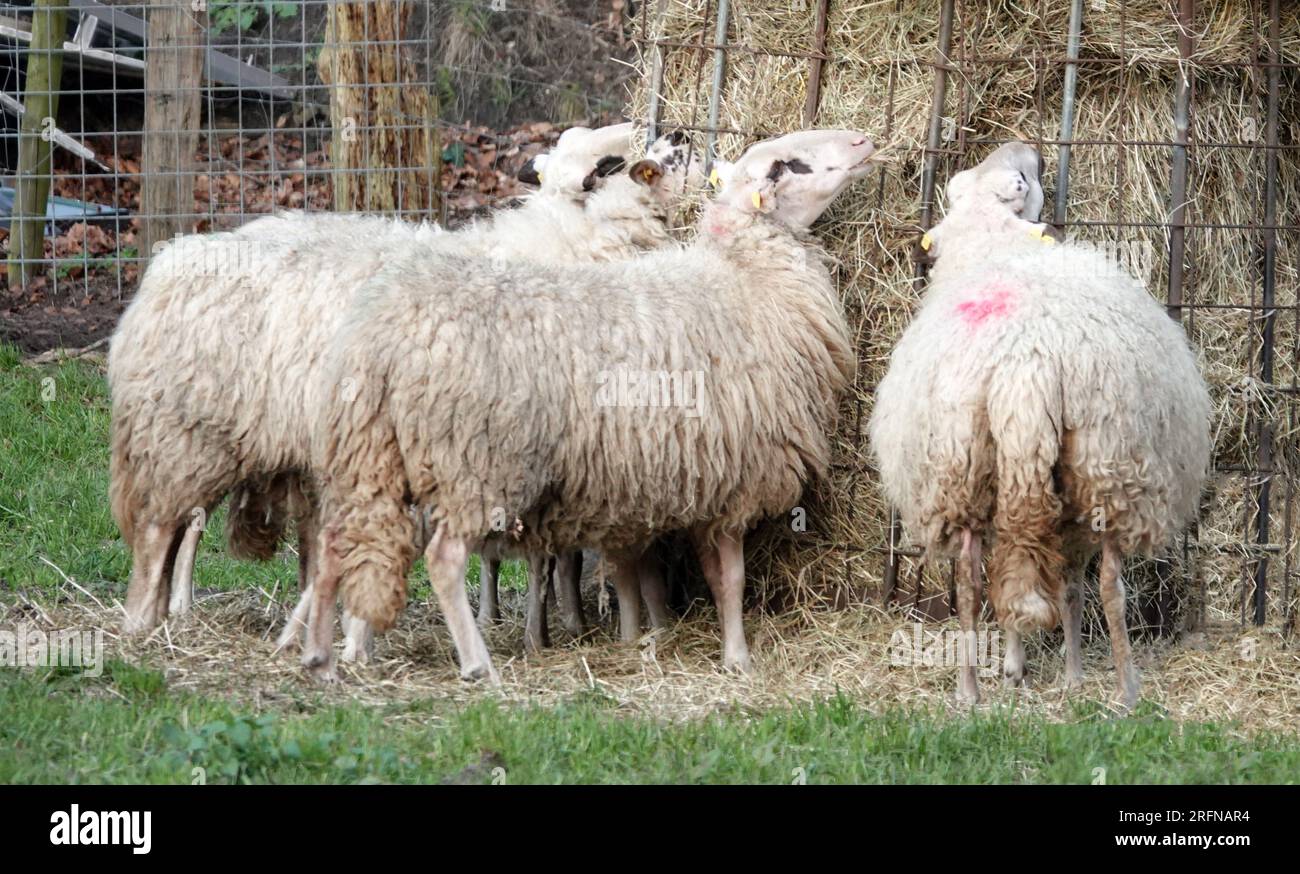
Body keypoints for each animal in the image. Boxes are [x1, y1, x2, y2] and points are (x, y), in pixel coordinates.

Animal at [110, 123, 698, 638]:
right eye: (608, 165)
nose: (678, 133)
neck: (563, 242)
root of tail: (166, 268)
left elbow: (563, 555)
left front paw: (563, 619)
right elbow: (552, 556)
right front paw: (555, 625)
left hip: (224, 436)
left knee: (188, 524)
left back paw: (177, 611)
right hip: (188, 429)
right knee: (164, 528)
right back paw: (147, 619)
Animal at [301, 129, 879, 682]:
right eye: (787, 167)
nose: (862, 141)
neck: (748, 279)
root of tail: (382, 332)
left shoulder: (683, 481)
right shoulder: (735, 473)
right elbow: (730, 579)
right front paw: (737, 658)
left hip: (378, 457)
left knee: (349, 545)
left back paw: (336, 654)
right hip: (473, 464)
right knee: (441, 561)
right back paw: (475, 663)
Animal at [869, 145, 1211, 709]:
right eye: (1023, 182)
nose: (1028, 149)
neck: (992, 242)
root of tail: (1024, 364)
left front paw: (1023, 667)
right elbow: (1071, 584)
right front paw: (1062, 669)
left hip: (965, 468)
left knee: (972, 580)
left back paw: (970, 691)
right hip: (1110, 463)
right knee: (1109, 581)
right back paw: (1126, 689)